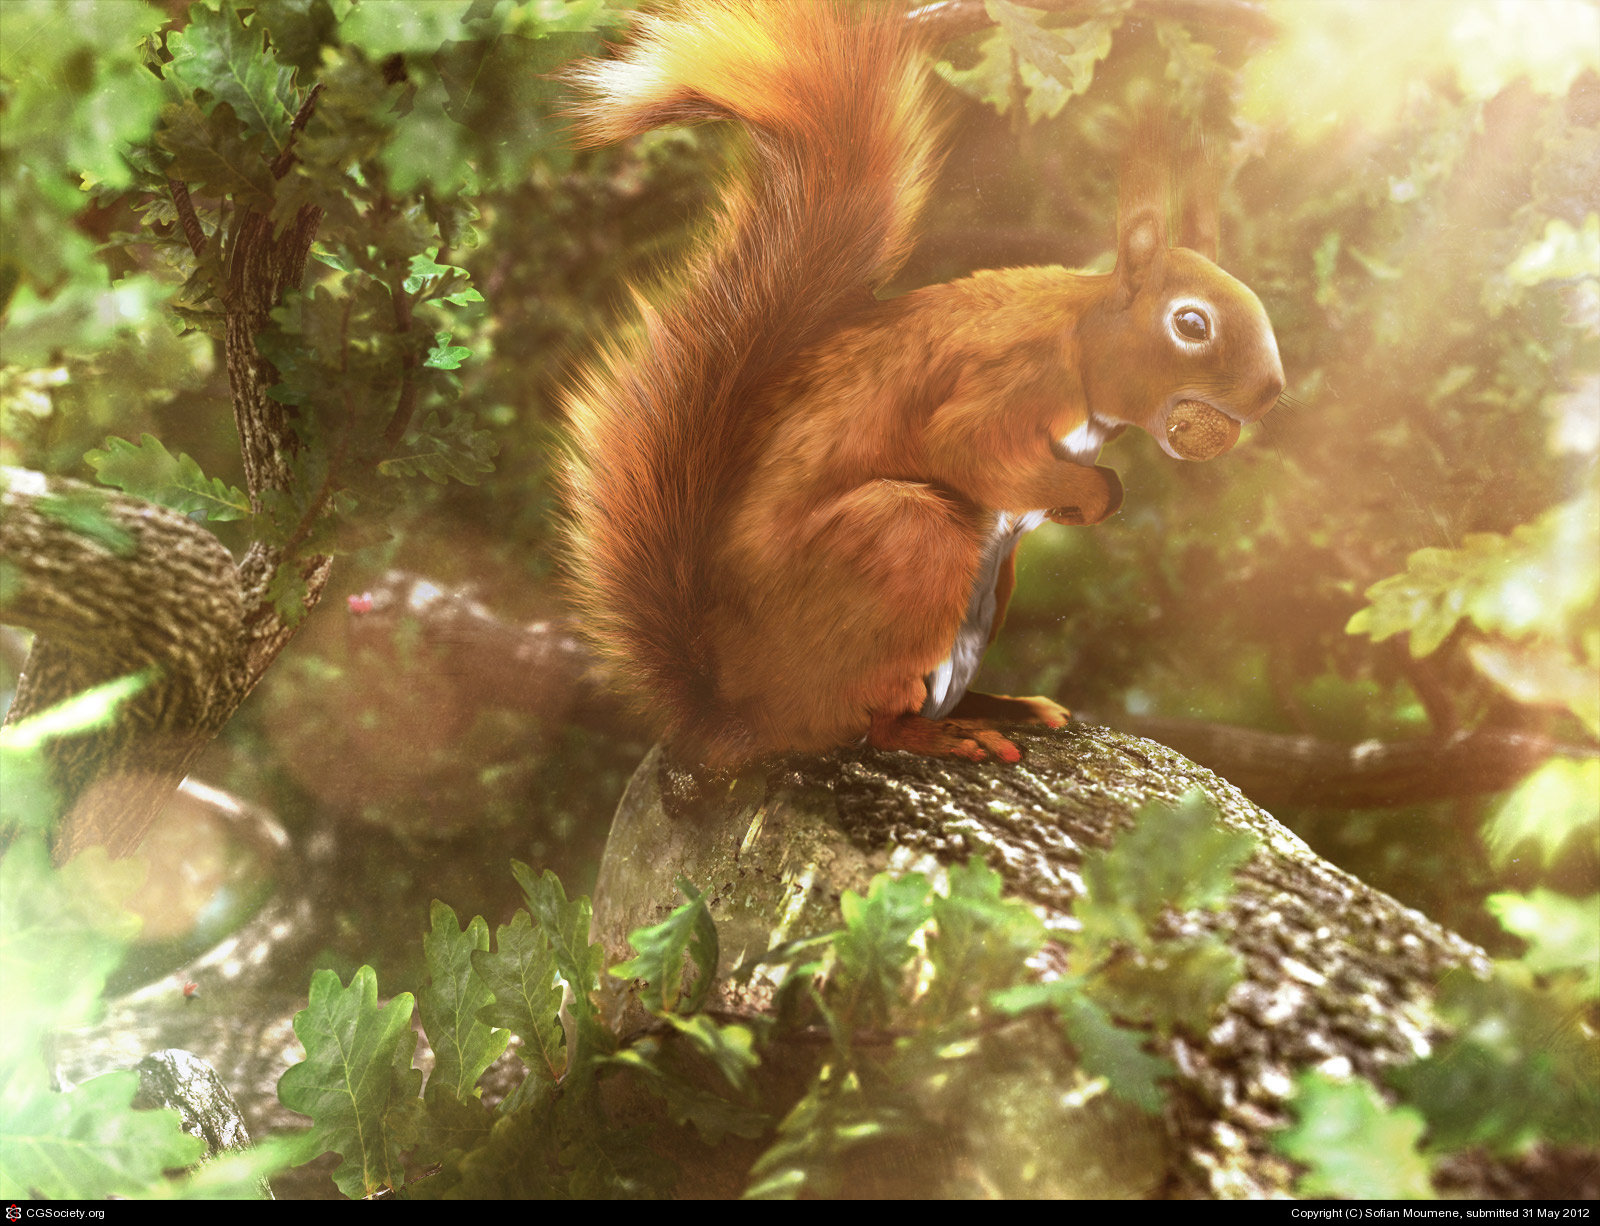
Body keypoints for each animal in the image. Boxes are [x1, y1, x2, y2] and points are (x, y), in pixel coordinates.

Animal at [559, 1, 1284, 769]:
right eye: (1191, 324)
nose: (1271, 391)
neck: (1081, 337)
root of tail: (740, 712)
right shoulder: (1013, 379)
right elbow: (967, 449)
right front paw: (1096, 494)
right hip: (907, 540)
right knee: (871, 721)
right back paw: (942, 734)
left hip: (988, 581)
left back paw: (1003, 705)